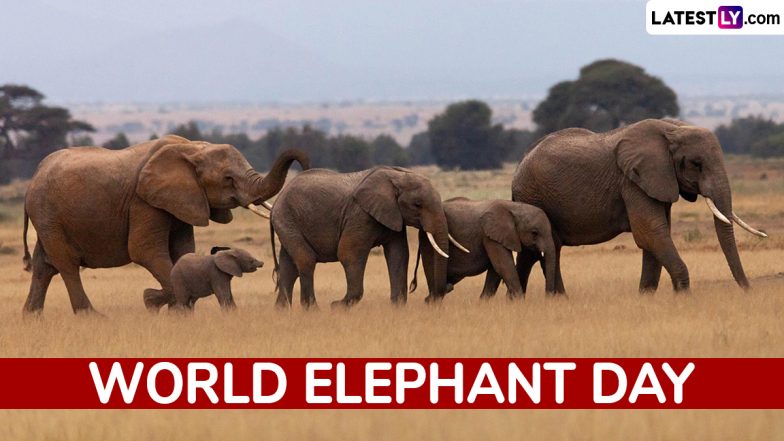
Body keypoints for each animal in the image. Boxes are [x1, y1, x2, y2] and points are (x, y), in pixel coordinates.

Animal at [21, 134, 308, 314]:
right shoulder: (143, 201)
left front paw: (170, 309)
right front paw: (154, 301)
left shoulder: (182, 200)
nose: (305, 166)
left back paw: (31, 318)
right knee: (67, 265)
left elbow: (183, 252)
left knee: (43, 267)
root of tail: (33, 176)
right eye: (228, 179)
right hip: (49, 216)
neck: (193, 149)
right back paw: (92, 317)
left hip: (47, 218)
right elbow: (145, 251)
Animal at [269, 166, 462, 309]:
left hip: (288, 222)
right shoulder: (360, 214)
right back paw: (313, 310)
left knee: (289, 267)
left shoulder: (393, 216)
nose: (449, 286)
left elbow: (398, 255)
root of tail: (277, 200)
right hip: (287, 219)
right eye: (417, 205)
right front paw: (337, 306)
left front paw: (397, 307)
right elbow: (349, 253)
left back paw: (282, 312)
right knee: (306, 260)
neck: (397, 176)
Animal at [410, 198, 556, 301]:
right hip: (427, 242)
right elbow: (504, 266)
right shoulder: (490, 235)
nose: (549, 298)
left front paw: (483, 303)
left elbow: (495, 271)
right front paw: (519, 303)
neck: (513, 207)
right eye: (534, 233)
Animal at [511, 118, 767, 294]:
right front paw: (683, 296)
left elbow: (656, 236)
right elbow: (652, 233)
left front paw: (645, 297)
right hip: (532, 195)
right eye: (697, 163)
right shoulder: (632, 181)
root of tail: (520, 162)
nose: (748, 290)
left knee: (539, 251)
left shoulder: (657, 181)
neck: (672, 129)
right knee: (544, 250)